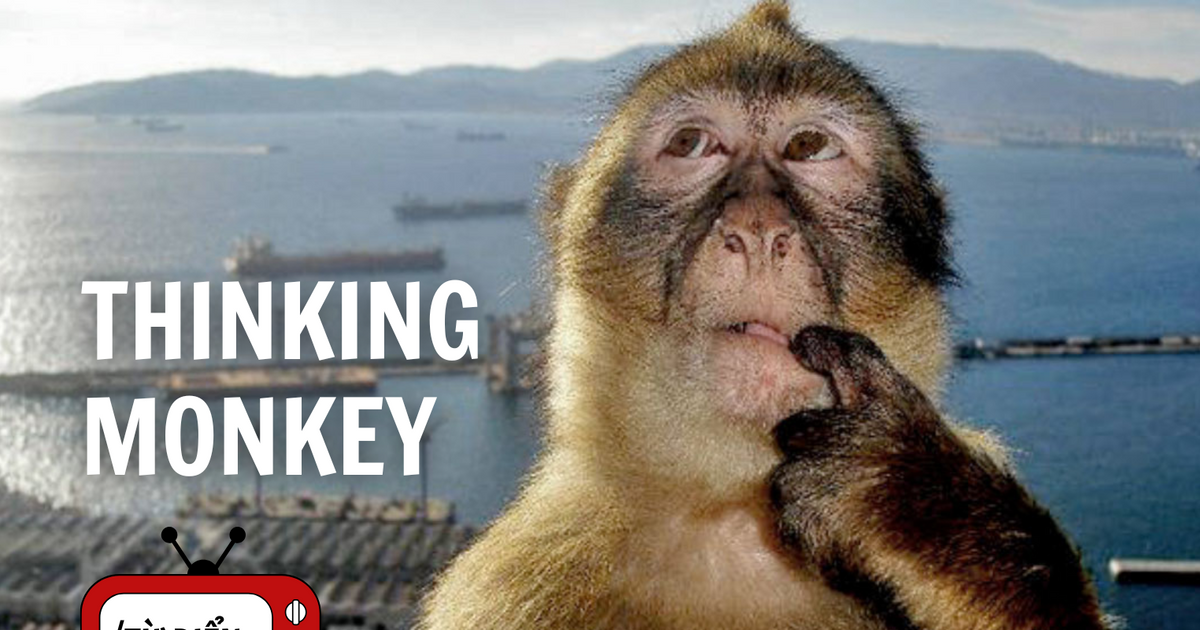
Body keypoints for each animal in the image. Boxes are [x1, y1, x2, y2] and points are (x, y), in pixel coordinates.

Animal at [418, 2, 1106, 629]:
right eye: (691, 143)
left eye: (810, 147)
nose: (756, 229)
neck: (734, 513)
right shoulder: (509, 588)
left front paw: (907, 496)